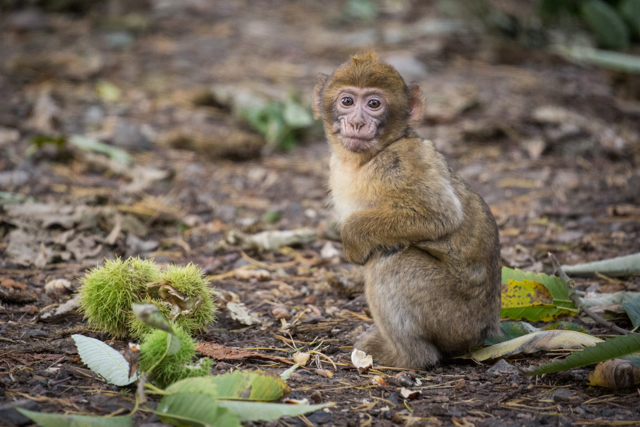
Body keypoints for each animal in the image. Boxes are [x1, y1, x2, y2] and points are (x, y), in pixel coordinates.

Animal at [313, 52, 502, 369]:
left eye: (374, 104)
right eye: (347, 101)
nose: (357, 123)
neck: (366, 160)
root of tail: (487, 331)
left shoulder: (401, 161)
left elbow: (440, 215)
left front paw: (352, 238)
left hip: (452, 317)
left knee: (391, 264)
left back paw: (407, 356)